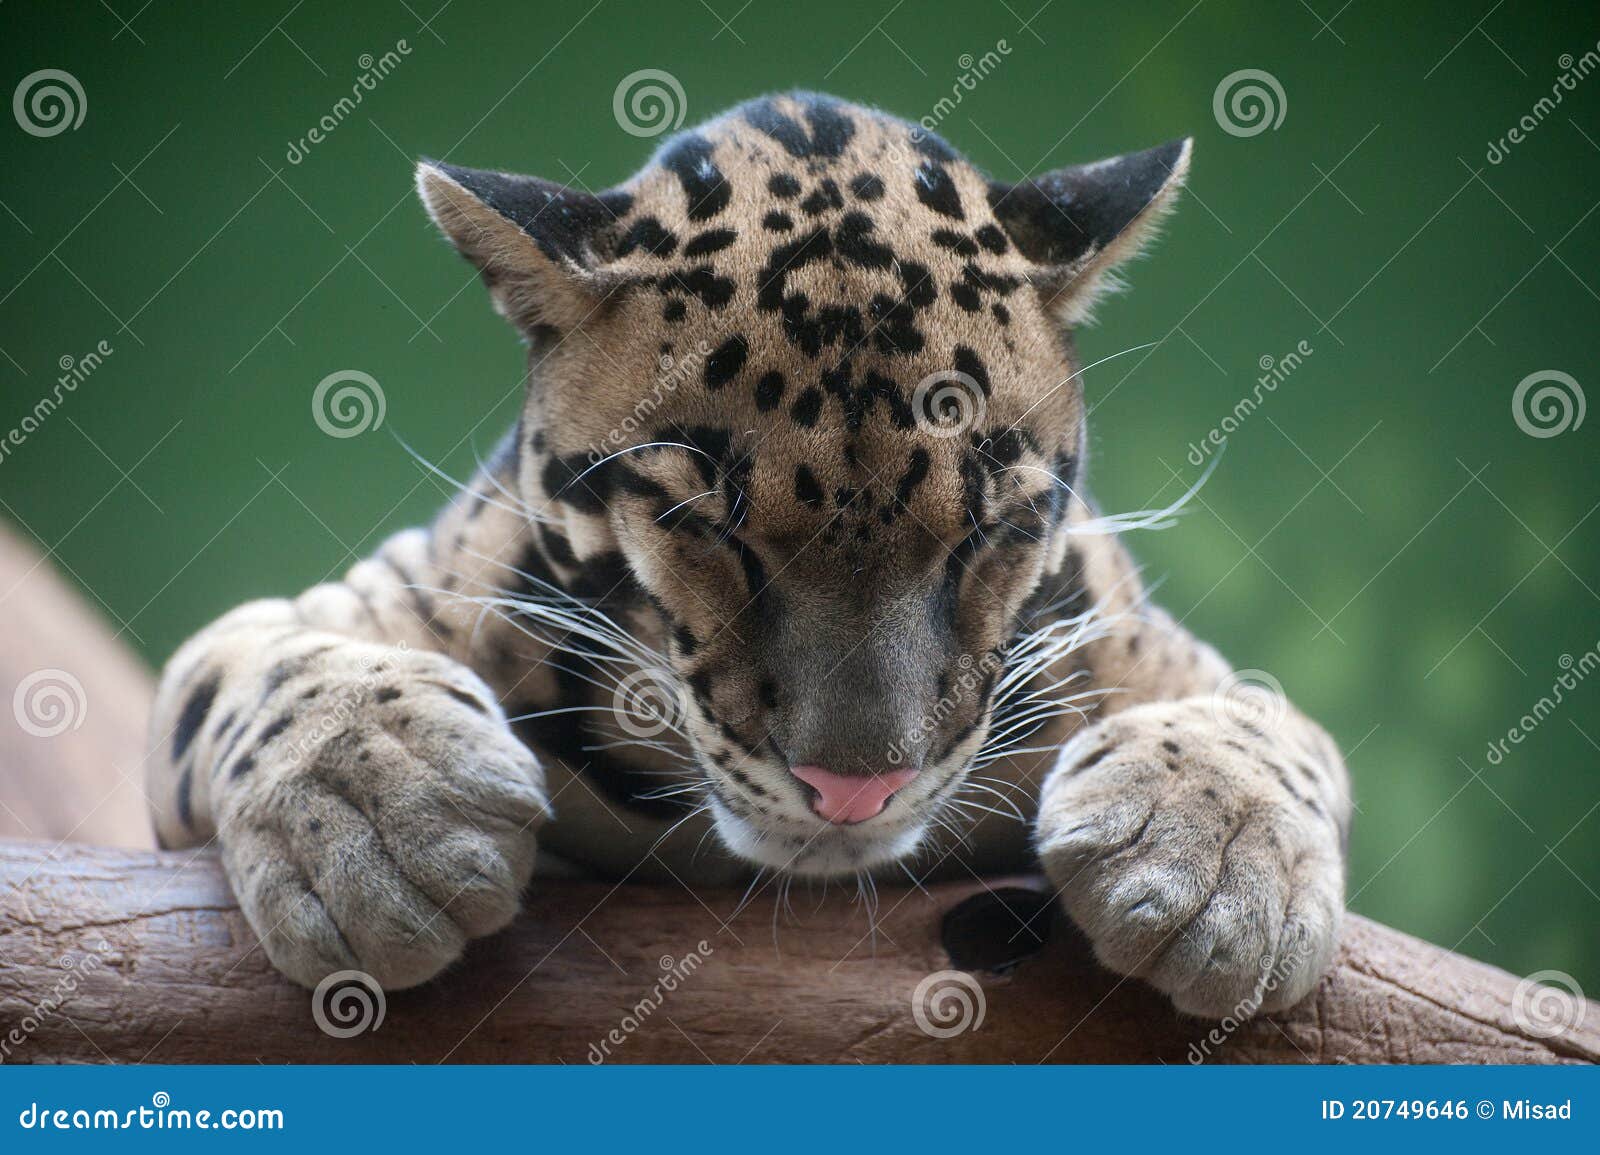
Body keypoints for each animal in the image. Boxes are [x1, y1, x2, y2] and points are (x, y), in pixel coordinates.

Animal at [147, 92, 1351, 1019]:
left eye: (990, 533)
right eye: (705, 526)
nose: (856, 789)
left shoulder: (1149, 643)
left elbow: (1268, 722)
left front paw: (1213, 856)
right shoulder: (381, 594)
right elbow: (264, 663)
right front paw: (373, 804)